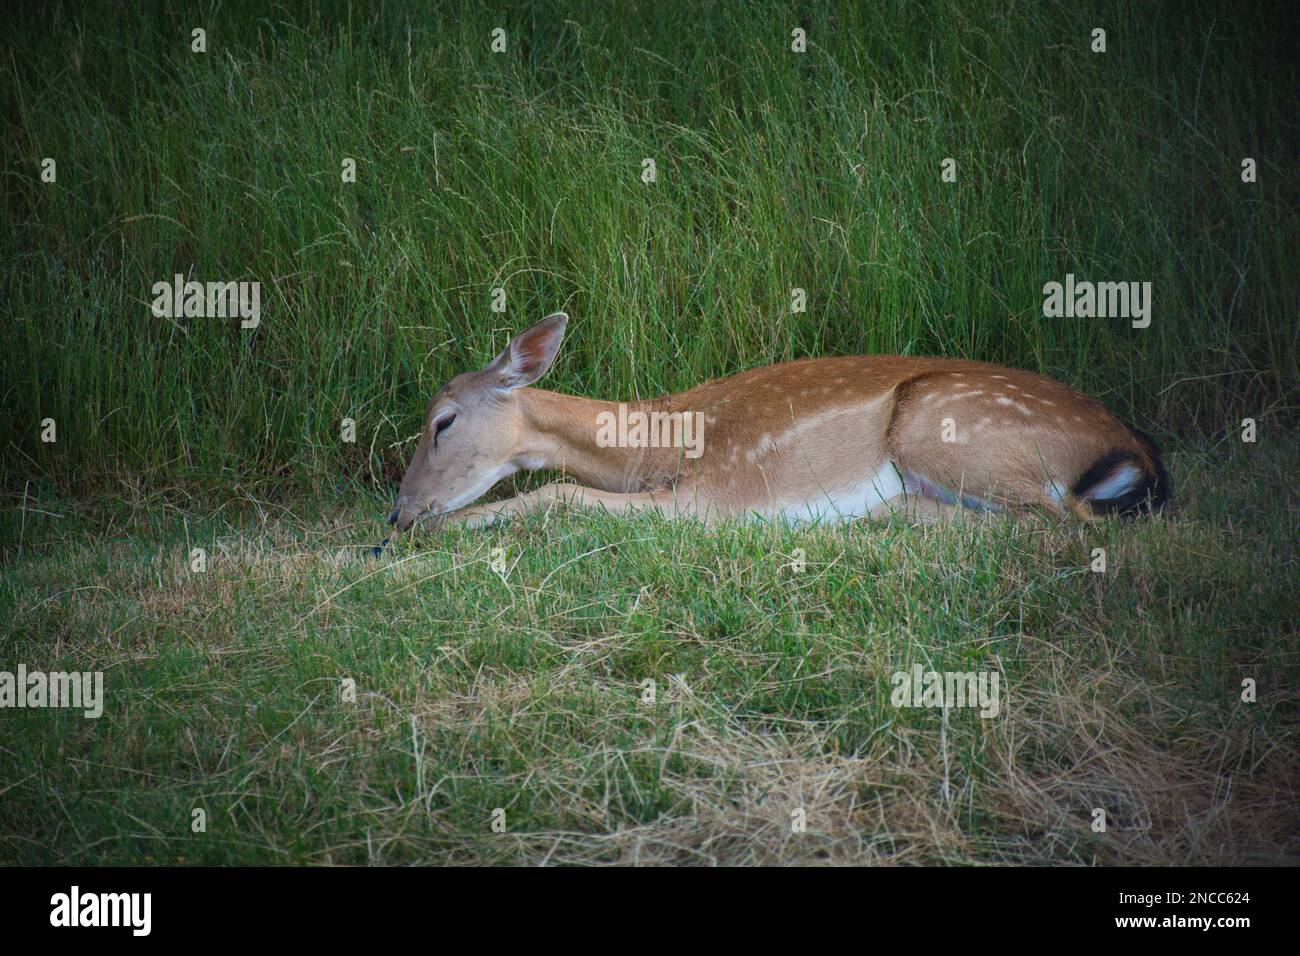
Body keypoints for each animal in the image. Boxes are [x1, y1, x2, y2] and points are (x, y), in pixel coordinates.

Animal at [385, 312, 1169, 536]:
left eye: (442, 421)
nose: (398, 511)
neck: (652, 439)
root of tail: (1134, 448)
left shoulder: (712, 495)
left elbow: (556, 493)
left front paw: (430, 536)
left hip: (944, 426)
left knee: (1063, 524)